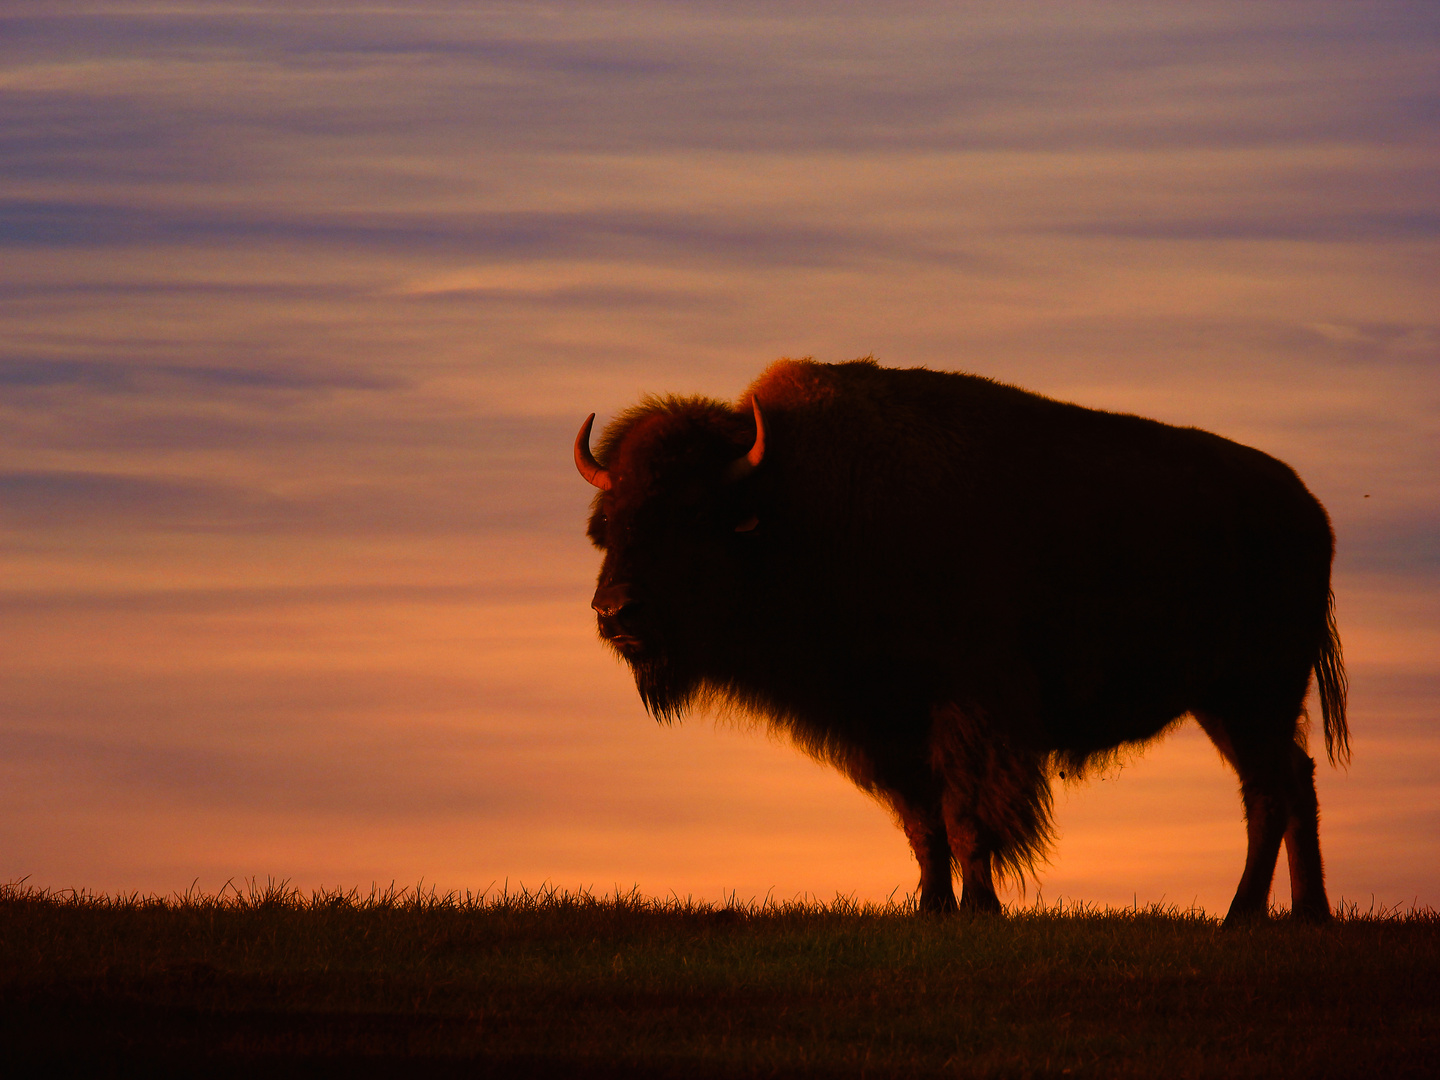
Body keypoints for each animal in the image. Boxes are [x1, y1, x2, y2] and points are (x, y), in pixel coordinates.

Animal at [567, 360, 1342, 927]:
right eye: (608, 520)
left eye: (690, 513)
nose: (616, 612)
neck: (795, 505)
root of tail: (1307, 508)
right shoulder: (884, 726)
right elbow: (924, 822)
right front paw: (932, 909)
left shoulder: (968, 709)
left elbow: (968, 817)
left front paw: (980, 910)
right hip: (1228, 703)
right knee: (1290, 781)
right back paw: (1305, 916)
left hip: (1254, 693)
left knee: (1271, 791)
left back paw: (1243, 916)